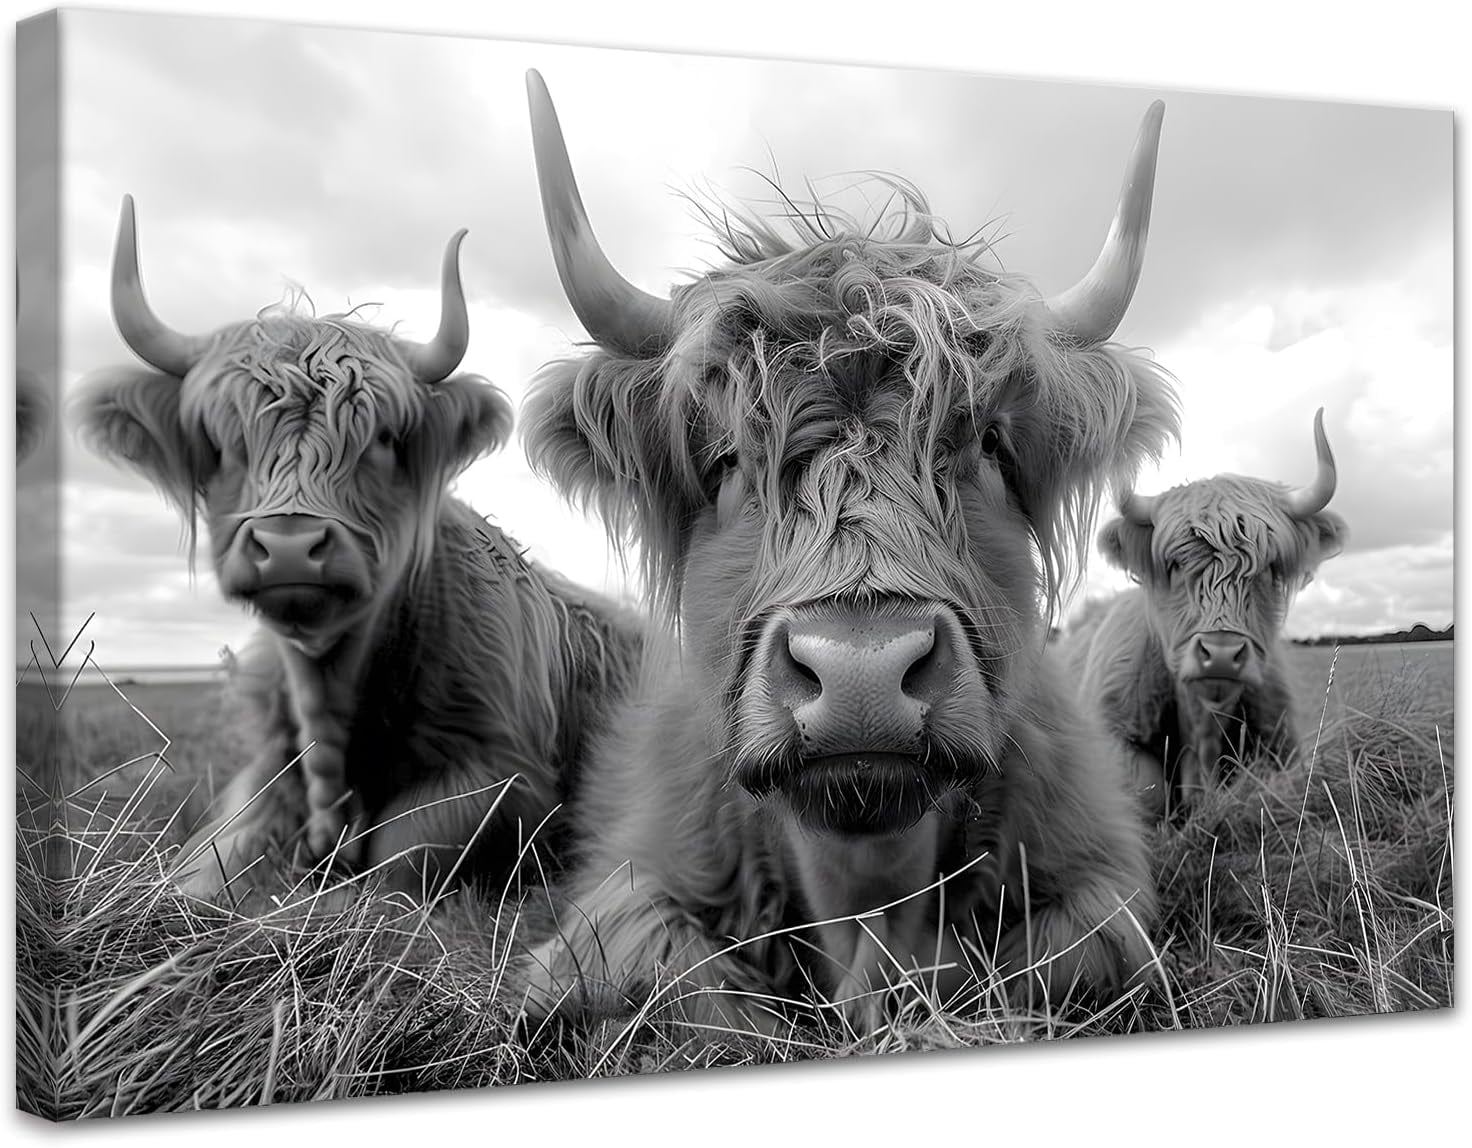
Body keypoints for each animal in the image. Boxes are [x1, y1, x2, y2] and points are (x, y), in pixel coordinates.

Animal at [75, 197, 646, 902]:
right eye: (221, 441)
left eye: (383, 438)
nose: (290, 546)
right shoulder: (267, 765)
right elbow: (210, 854)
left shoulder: (503, 774)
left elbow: (396, 855)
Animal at [513, 72, 1179, 1034]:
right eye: (725, 459)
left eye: (986, 443)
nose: (862, 673)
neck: (867, 893)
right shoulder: (622, 908)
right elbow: (689, 993)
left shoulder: (1094, 887)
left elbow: (1062, 963)